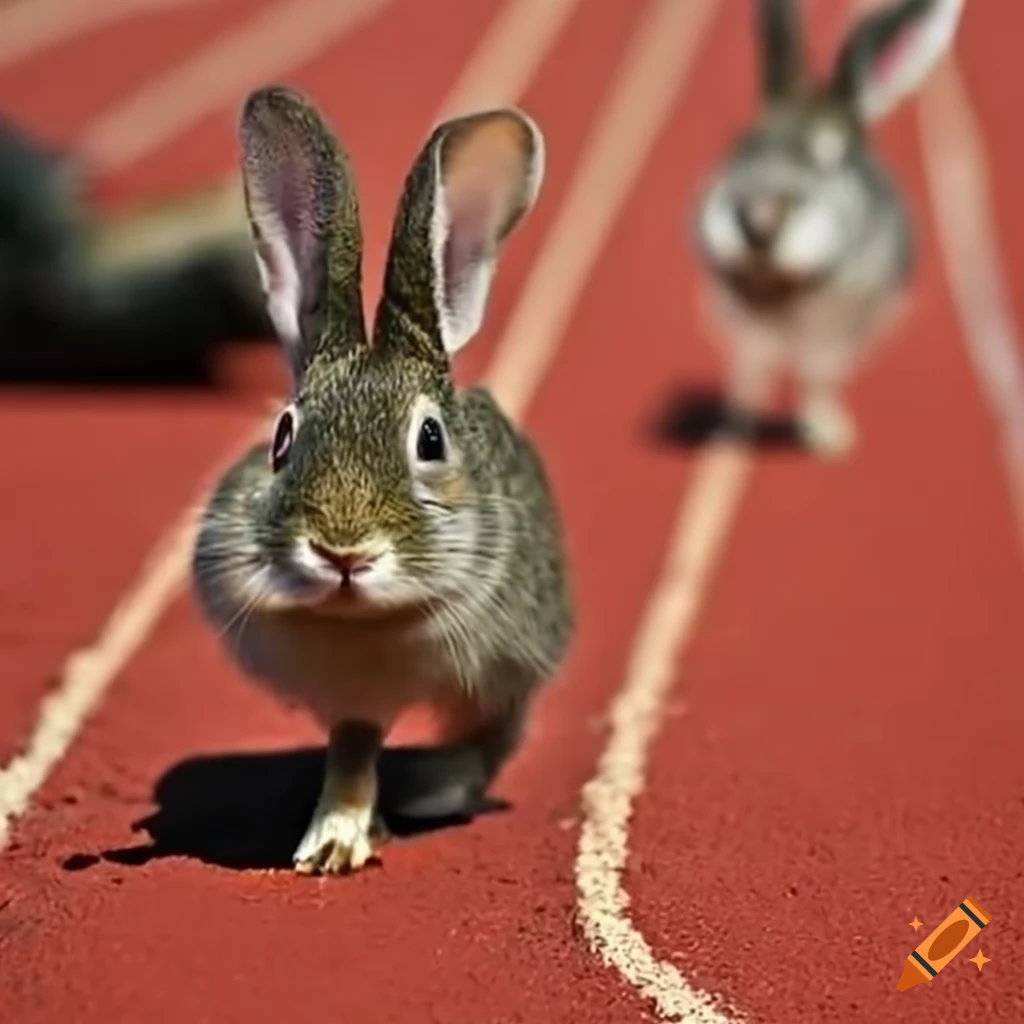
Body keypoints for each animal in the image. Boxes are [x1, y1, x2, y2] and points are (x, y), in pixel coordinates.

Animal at [191, 85, 574, 875]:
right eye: (282, 436)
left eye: (430, 439)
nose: (342, 551)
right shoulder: (353, 703)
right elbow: (351, 750)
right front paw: (331, 845)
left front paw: (358, 833)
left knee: (493, 738)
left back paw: (434, 791)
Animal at [692, 0, 964, 456]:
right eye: (740, 144)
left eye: (833, 156)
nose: (758, 219)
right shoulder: (747, 330)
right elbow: (750, 377)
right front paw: (729, 434)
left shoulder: (836, 339)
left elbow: (817, 381)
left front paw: (828, 437)